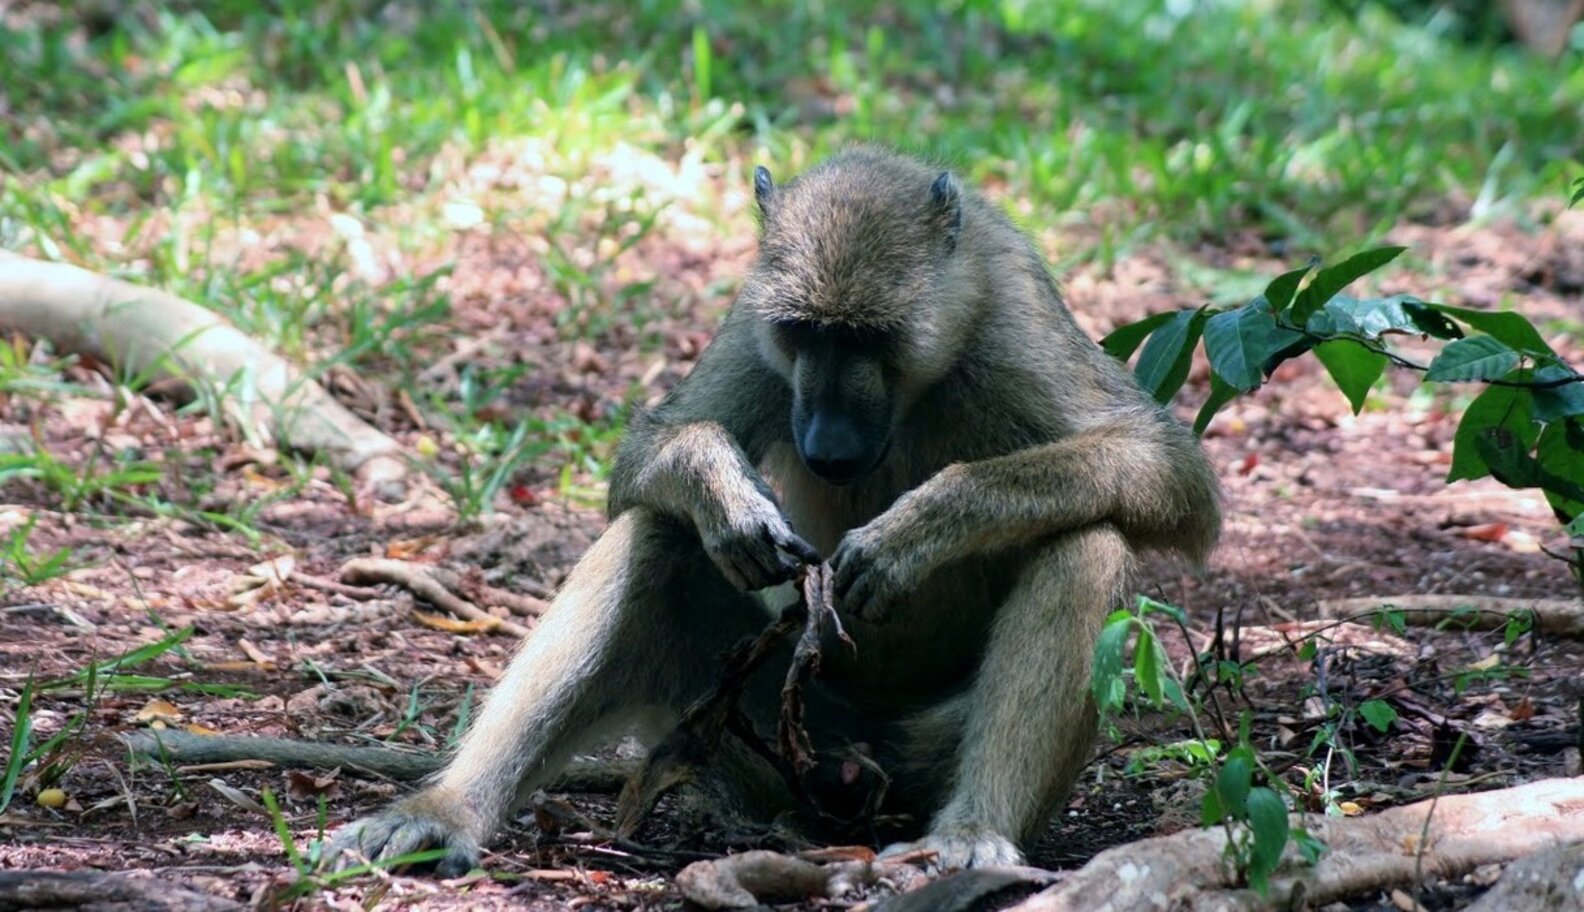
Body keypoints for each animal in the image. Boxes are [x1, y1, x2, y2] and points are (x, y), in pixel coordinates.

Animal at [324, 147, 1221, 875]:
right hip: (748, 740)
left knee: (1086, 542)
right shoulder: (753, 319)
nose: (827, 441)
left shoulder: (1013, 314)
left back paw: (971, 833)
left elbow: (1172, 473)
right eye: (805, 332)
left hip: (917, 753)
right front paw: (727, 498)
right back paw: (443, 815)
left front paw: (920, 528)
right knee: (655, 536)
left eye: (868, 338)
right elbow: (642, 460)